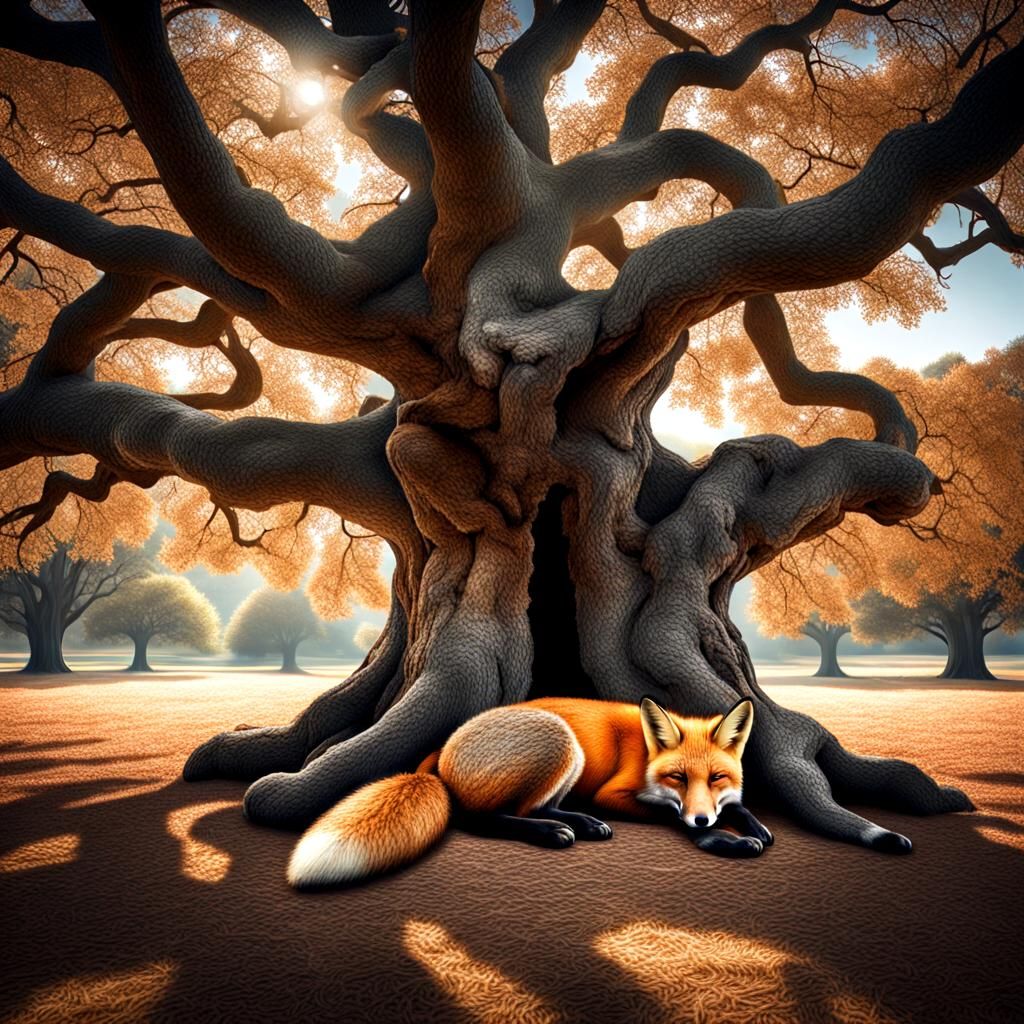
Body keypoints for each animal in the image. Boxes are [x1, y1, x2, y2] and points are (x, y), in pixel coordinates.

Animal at [287, 695, 773, 888]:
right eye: (678, 778)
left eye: (716, 778)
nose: (703, 817)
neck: (646, 748)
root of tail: (442, 750)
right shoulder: (614, 794)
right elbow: (674, 817)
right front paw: (721, 839)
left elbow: (738, 807)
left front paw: (752, 827)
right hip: (562, 742)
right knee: (485, 817)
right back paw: (552, 832)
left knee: (542, 806)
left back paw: (581, 824)